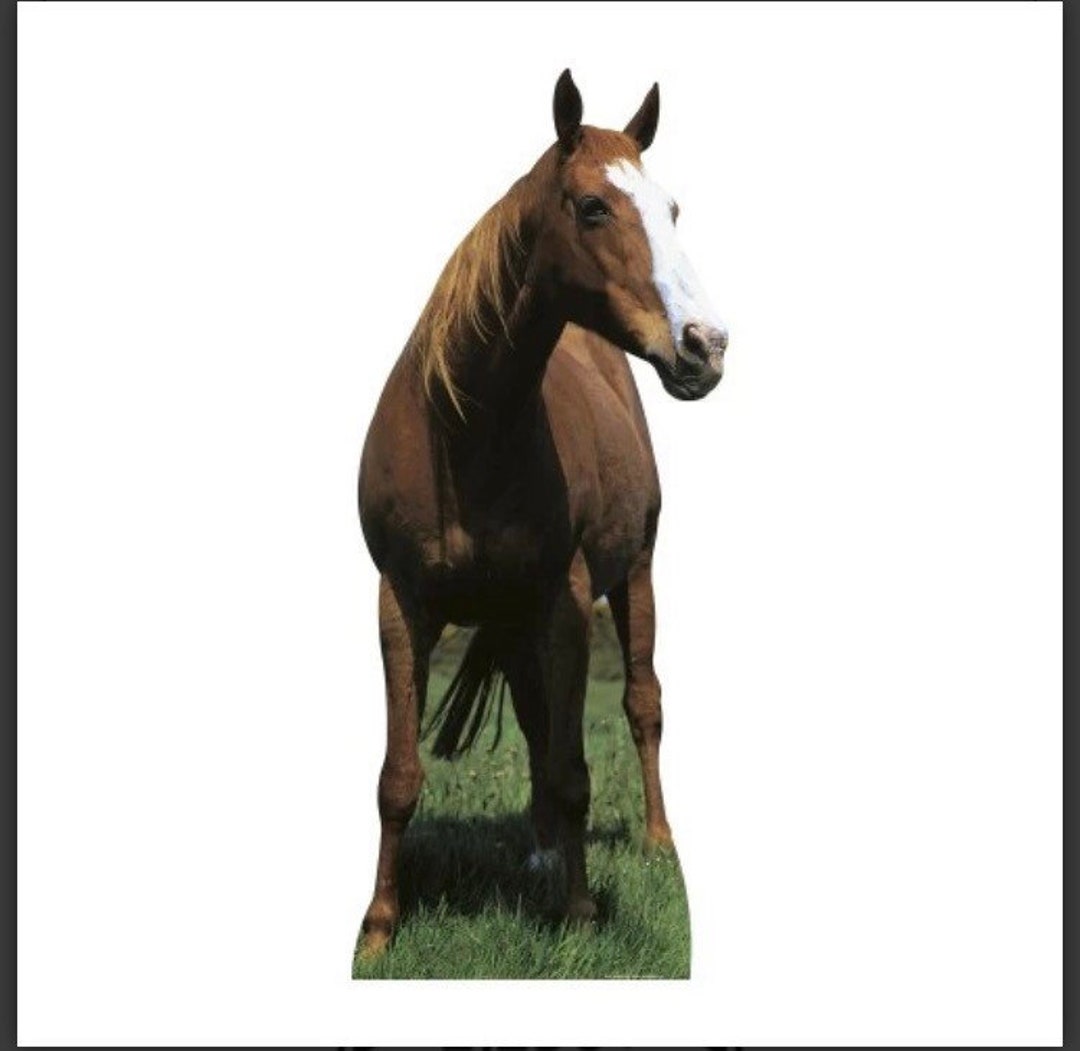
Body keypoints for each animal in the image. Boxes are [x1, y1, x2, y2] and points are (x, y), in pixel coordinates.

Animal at [356, 69, 728, 957]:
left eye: (671, 209)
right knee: (532, 717)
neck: (464, 428)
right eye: (592, 206)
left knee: (642, 704)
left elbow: (572, 767)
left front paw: (581, 911)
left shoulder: (565, 599)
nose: (706, 345)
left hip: (633, 575)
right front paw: (378, 927)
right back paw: (540, 850)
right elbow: (398, 776)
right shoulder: (400, 604)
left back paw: (652, 842)